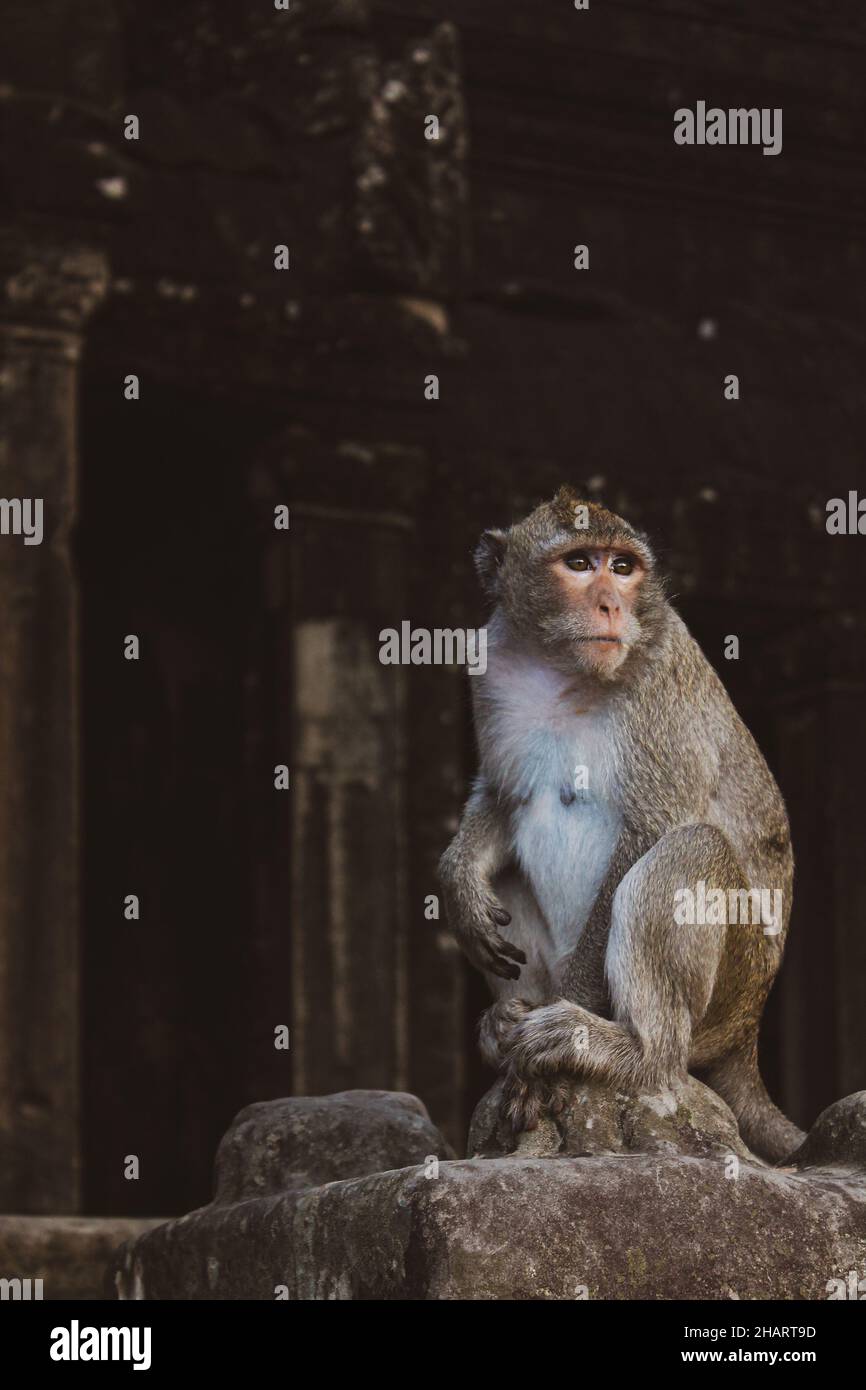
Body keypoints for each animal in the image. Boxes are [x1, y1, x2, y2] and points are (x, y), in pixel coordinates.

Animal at [438, 486, 804, 1164]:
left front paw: (557, 1058)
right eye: (581, 563)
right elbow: (503, 795)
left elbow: (652, 829)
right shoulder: (491, 669)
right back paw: (505, 1024)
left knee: (691, 848)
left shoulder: (663, 681)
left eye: (624, 567)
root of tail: (748, 1033)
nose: (611, 603)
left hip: (727, 996)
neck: (565, 675)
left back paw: (627, 1048)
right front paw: (457, 880)